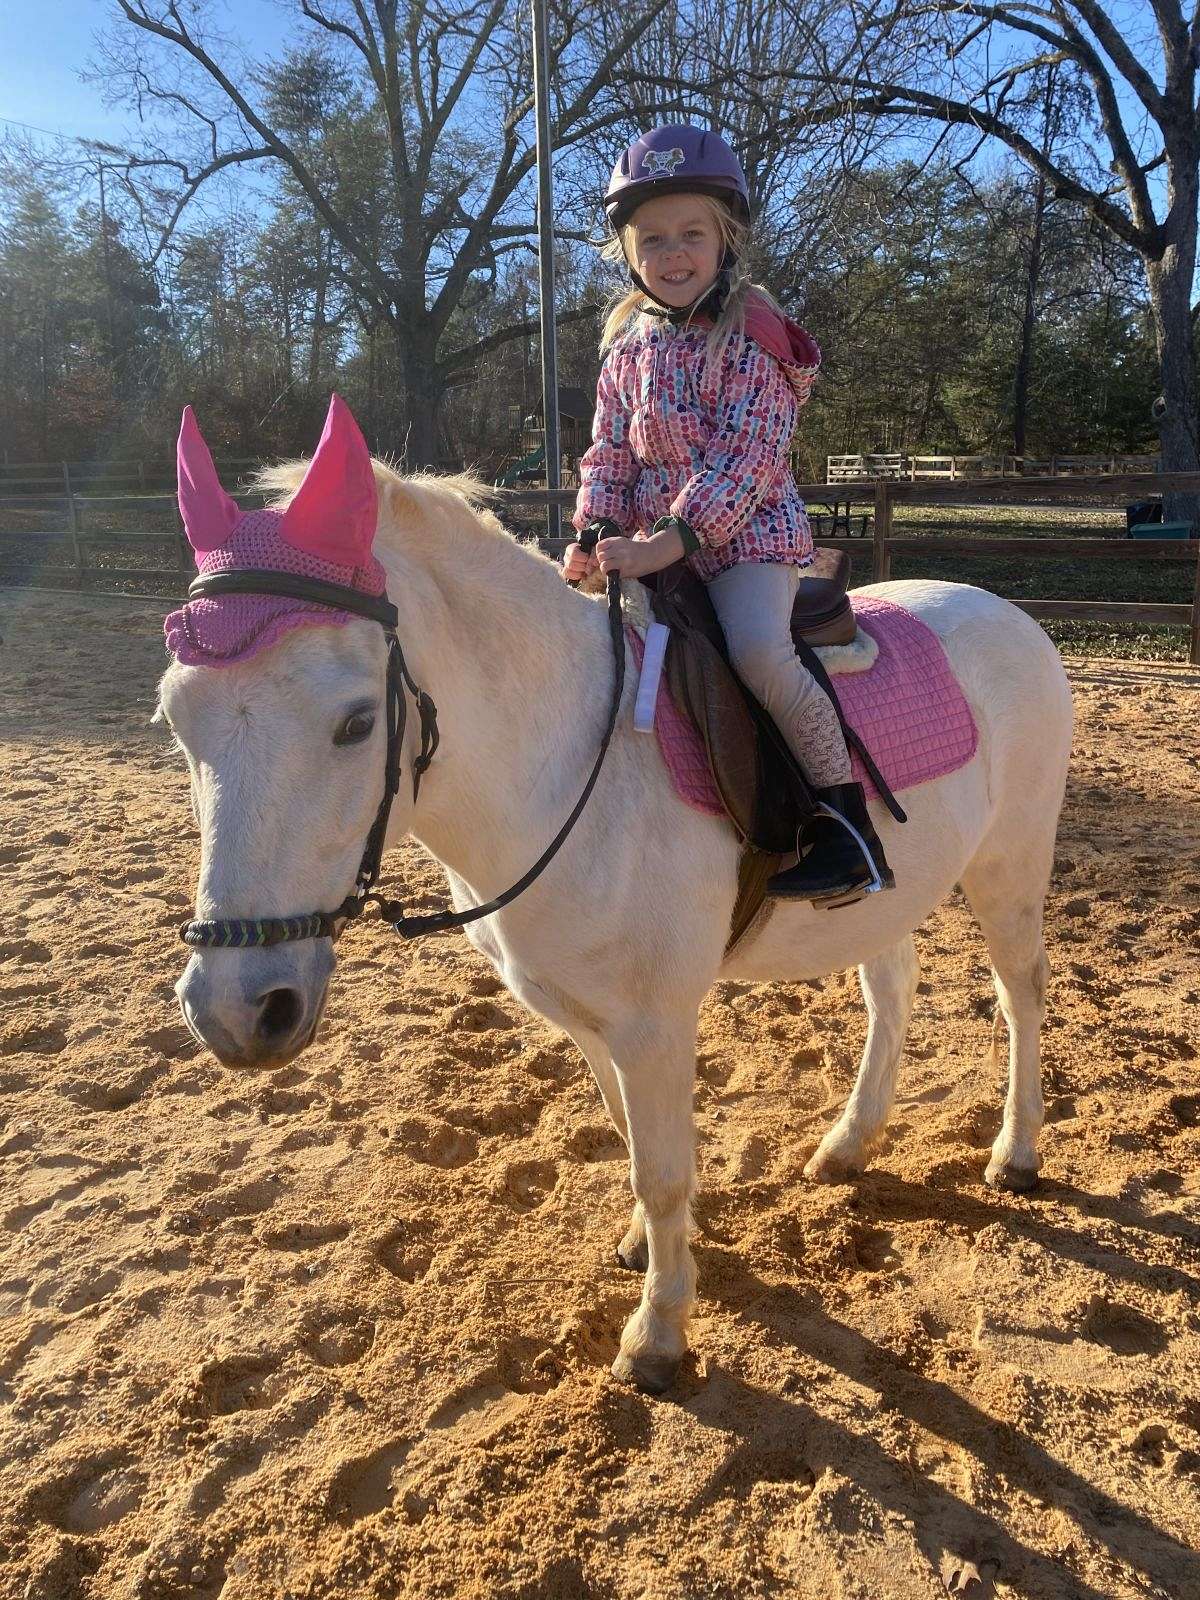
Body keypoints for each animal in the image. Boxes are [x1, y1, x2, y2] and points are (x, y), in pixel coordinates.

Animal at [160, 450, 1073, 1395]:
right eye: (174, 718)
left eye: (355, 722)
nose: (235, 1011)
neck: (560, 764)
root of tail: (1002, 609)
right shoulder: (587, 1019)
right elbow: (632, 1140)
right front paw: (648, 1250)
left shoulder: (654, 1025)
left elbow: (663, 1170)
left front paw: (659, 1332)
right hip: (886, 894)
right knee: (892, 994)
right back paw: (849, 1144)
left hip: (1009, 863)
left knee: (1021, 995)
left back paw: (1016, 1154)